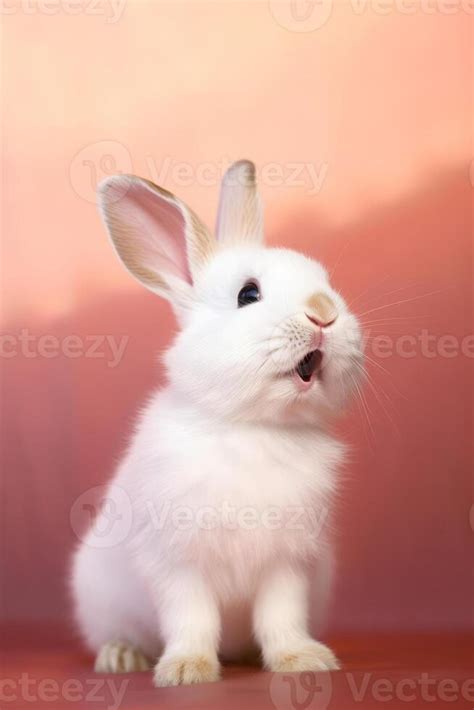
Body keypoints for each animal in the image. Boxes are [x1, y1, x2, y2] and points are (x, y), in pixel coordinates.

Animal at [71, 159, 363, 687]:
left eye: (327, 282)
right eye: (248, 294)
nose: (325, 312)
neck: (255, 426)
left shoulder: (288, 565)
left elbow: (282, 617)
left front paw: (303, 661)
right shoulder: (177, 563)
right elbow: (191, 618)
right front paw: (187, 671)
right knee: (121, 634)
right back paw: (121, 658)